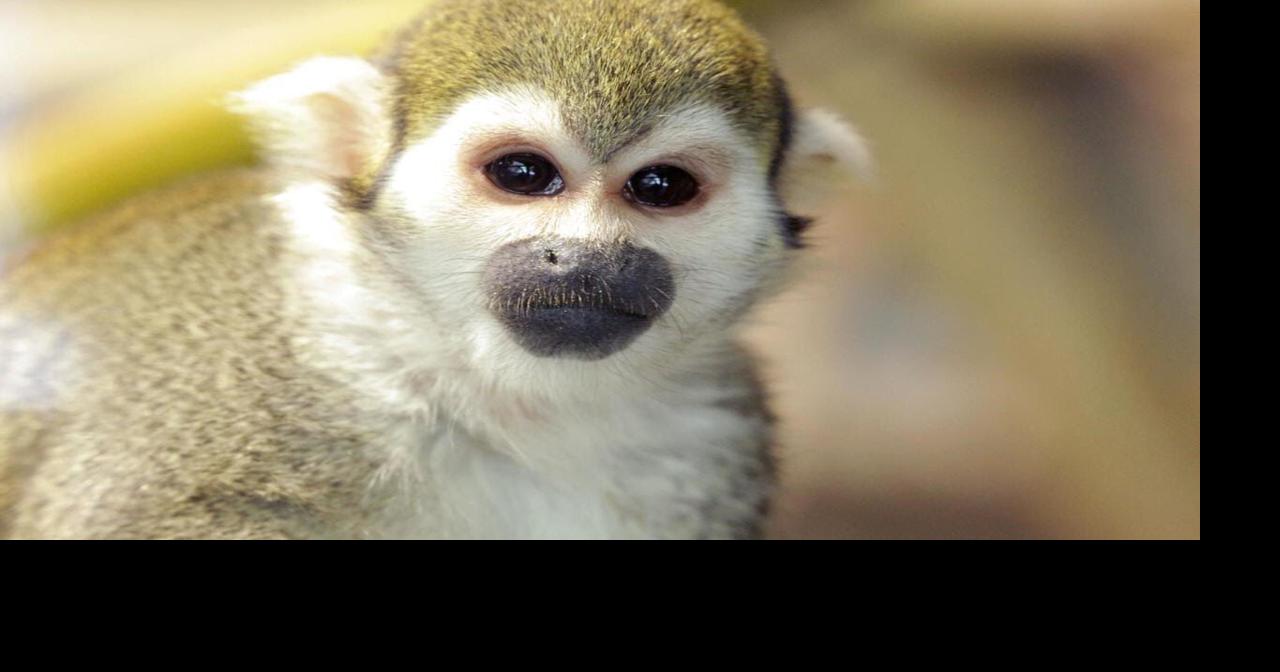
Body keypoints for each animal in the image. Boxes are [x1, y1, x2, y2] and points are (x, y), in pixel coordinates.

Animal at [0, 0, 868, 539]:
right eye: (523, 174)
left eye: (661, 187)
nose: (584, 257)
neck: (503, 396)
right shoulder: (248, 371)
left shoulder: (716, 438)